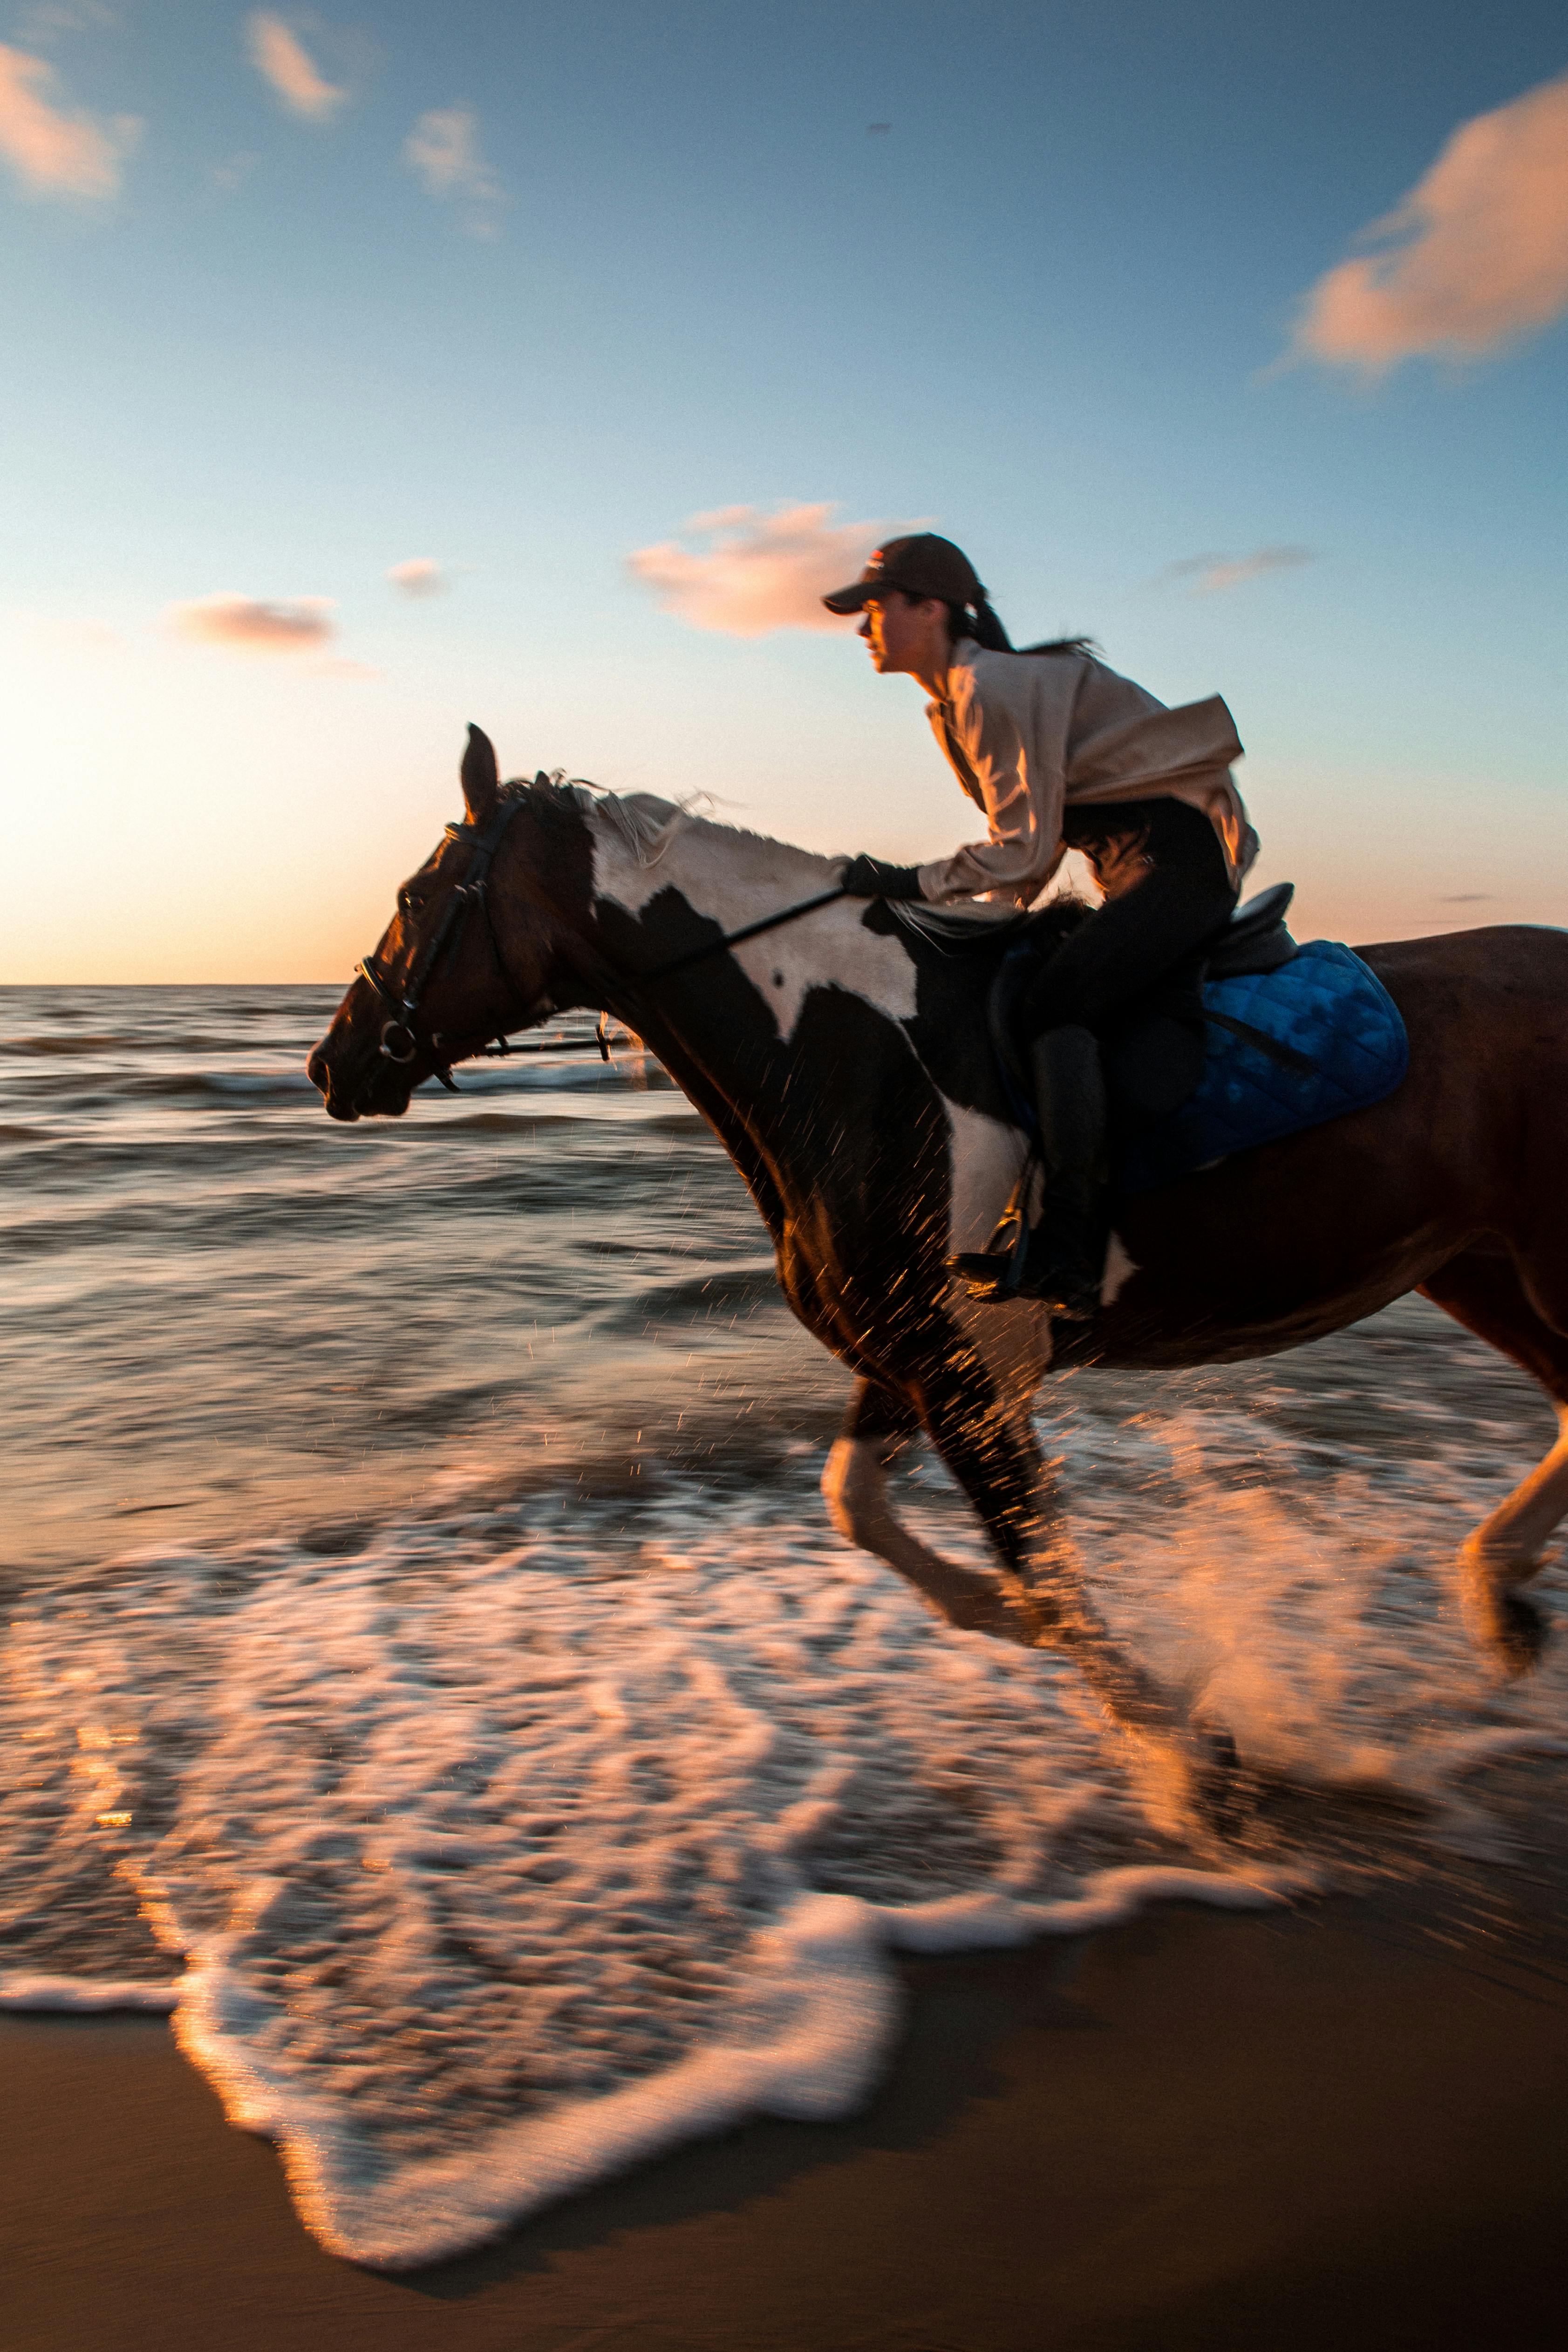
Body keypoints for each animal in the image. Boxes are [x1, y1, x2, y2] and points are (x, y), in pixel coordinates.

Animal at [308, 727, 1568, 1813]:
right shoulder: (907, 1355)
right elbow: (861, 1505)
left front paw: (1185, 1755)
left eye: (416, 898)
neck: (854, 1049)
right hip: (1473, 1266)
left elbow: (1037, 1557)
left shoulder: (967, 1372)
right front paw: (1002, 1621)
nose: (334, 1061)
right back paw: (1497, 1597)